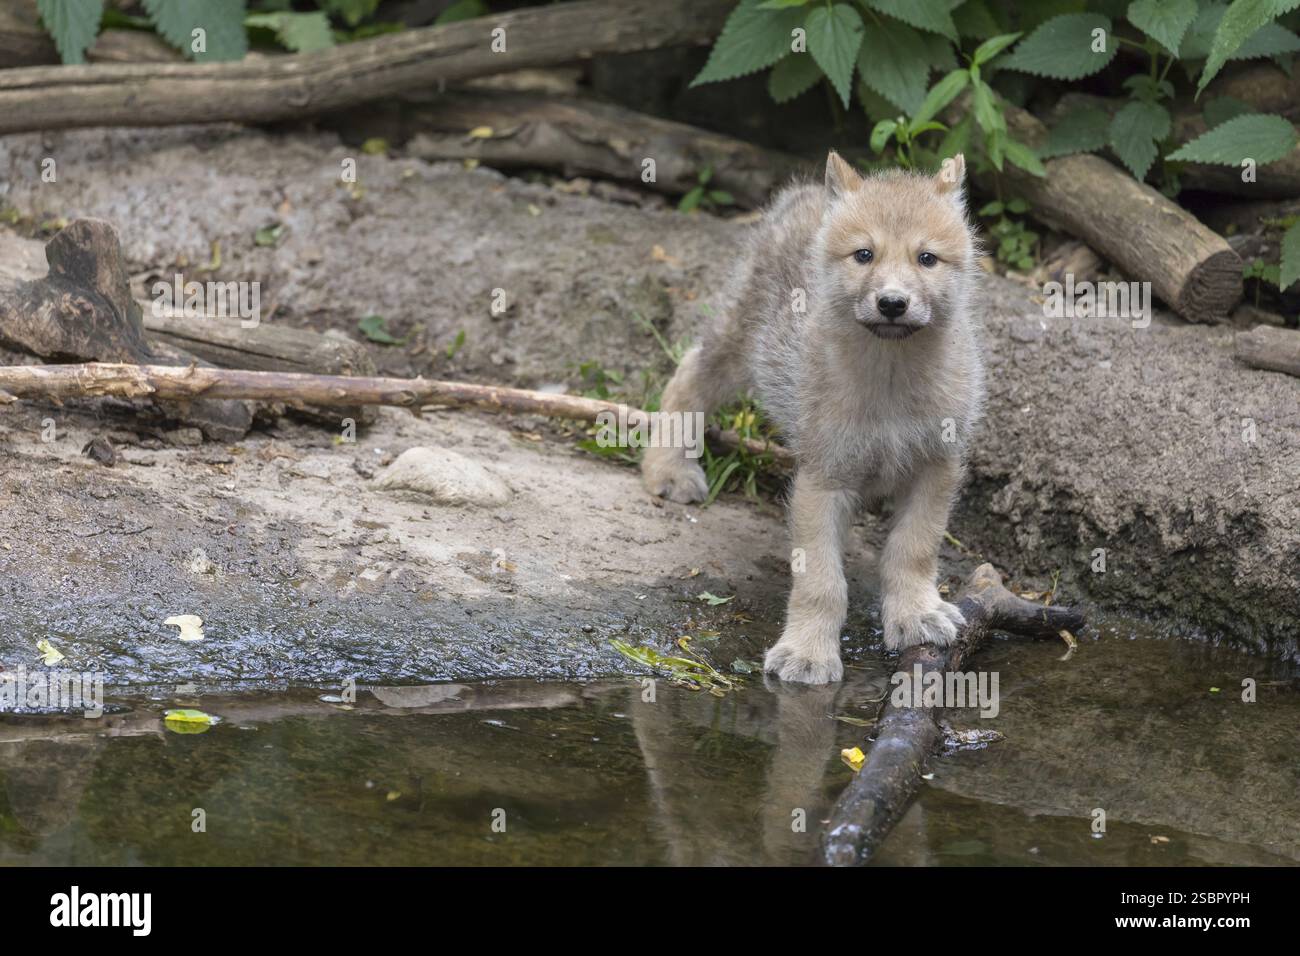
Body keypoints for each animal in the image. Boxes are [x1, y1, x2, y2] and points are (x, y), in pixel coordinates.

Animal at [642, 152, 985, 684]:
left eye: (926, 258)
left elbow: (913, 549)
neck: (890, 378)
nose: (892, 303)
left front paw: (915, 614)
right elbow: (821, 581)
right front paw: (808, 652)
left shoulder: (936, 467)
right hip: (740, 344)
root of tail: (803, 193)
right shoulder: (822, 479)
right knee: (687, 376)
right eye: (864, 255)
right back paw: (669, 468)